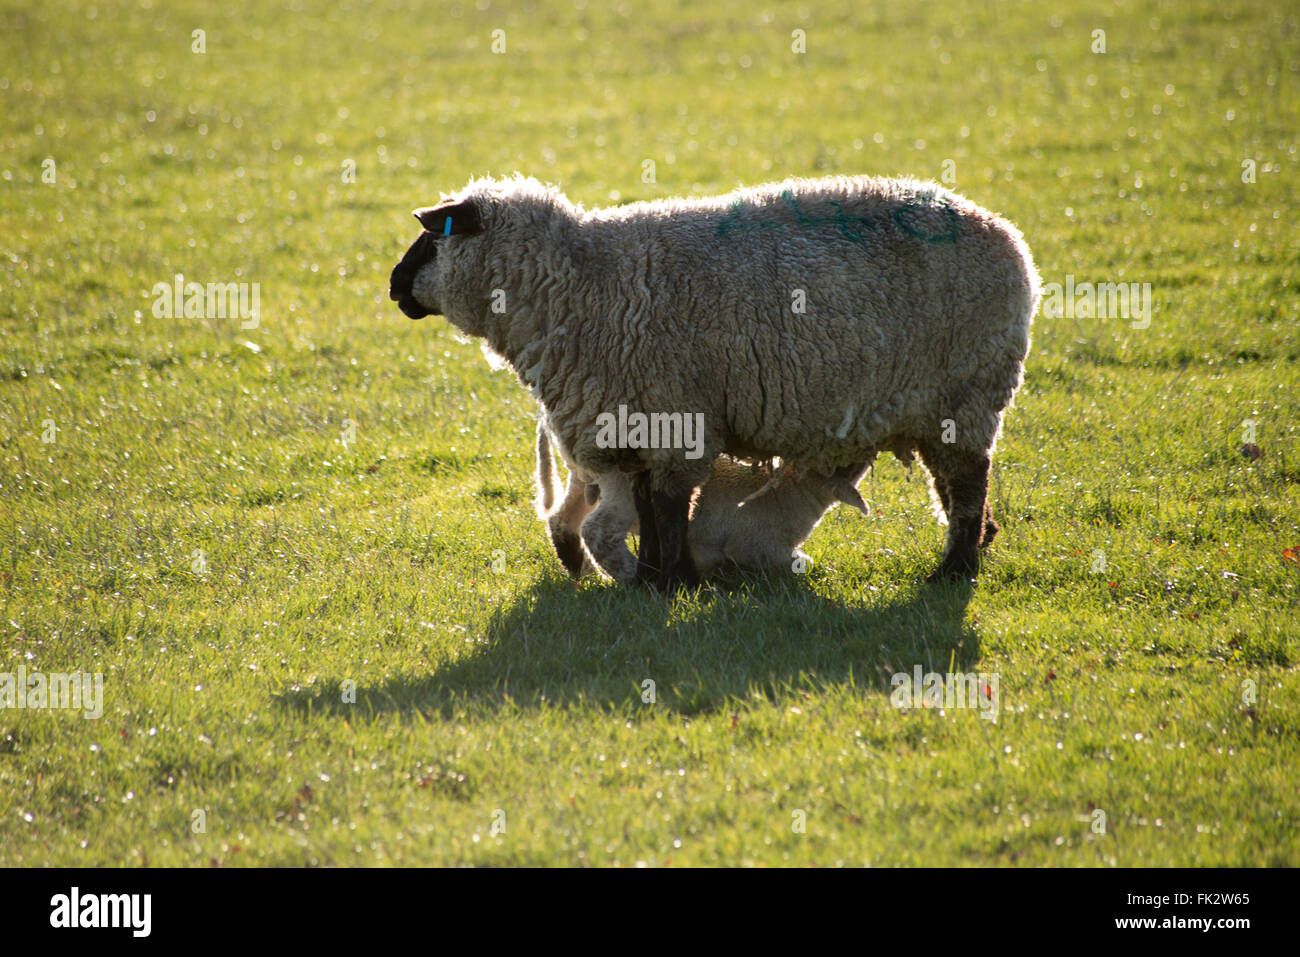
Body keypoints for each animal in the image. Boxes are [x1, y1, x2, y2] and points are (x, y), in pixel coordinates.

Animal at [535, 419, 869, 580]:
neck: (786, 495)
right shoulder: (756, 544)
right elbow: (804, 563)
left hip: (580, 475)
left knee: (563, 517)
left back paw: (582, 569)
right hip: (620, 482)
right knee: (597, 530)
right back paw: (634, 578)